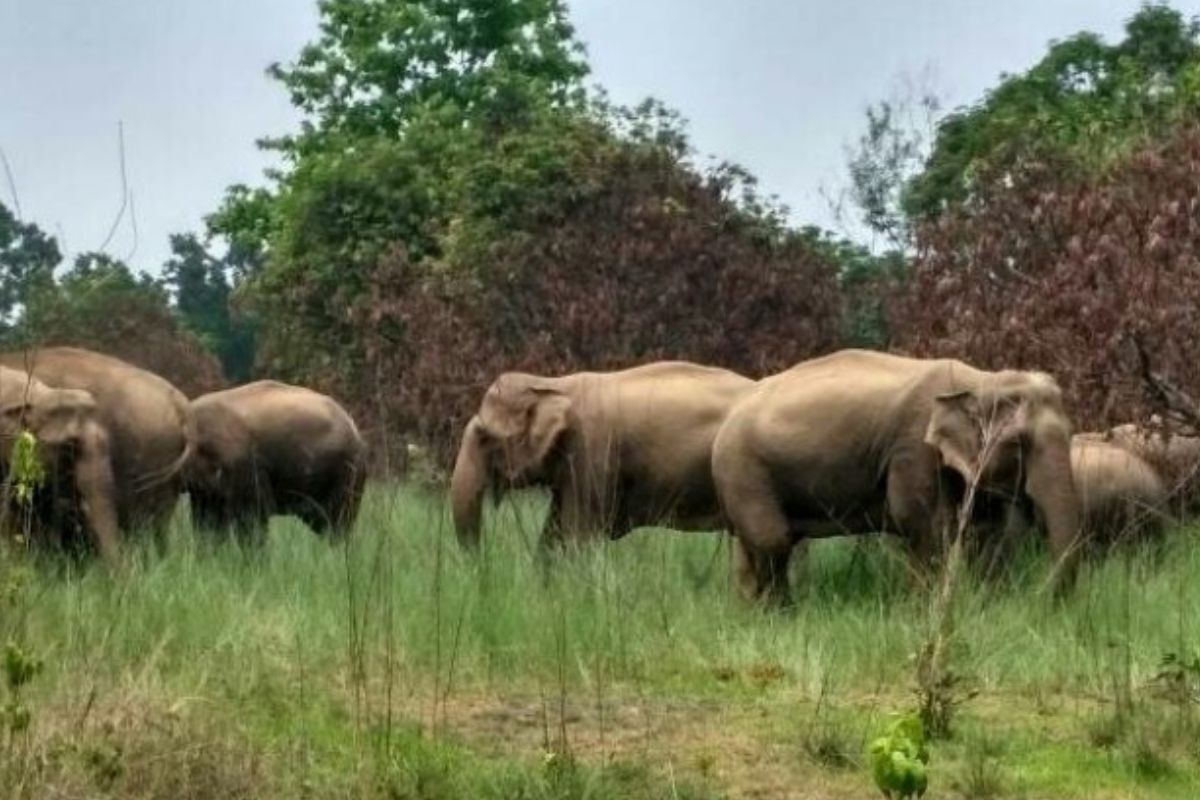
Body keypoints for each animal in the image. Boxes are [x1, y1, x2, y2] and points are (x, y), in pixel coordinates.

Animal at [184, 381, 367, 539]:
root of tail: (353, 426)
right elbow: (206, 521)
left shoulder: (243, 464)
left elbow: (253, 519)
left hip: (346, 472)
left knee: (336, 523)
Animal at [711, 350, 1081, 605]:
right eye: (1019, 444)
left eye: (1070, 434)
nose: (1038, 600)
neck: (980, 380)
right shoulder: (913, 447)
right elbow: (926, 524)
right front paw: (919, 612)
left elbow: (988, 533)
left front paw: (987, 606)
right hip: (742, 467)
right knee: (773, 539)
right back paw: (781, 614)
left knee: (757, 542)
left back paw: (748, 612)